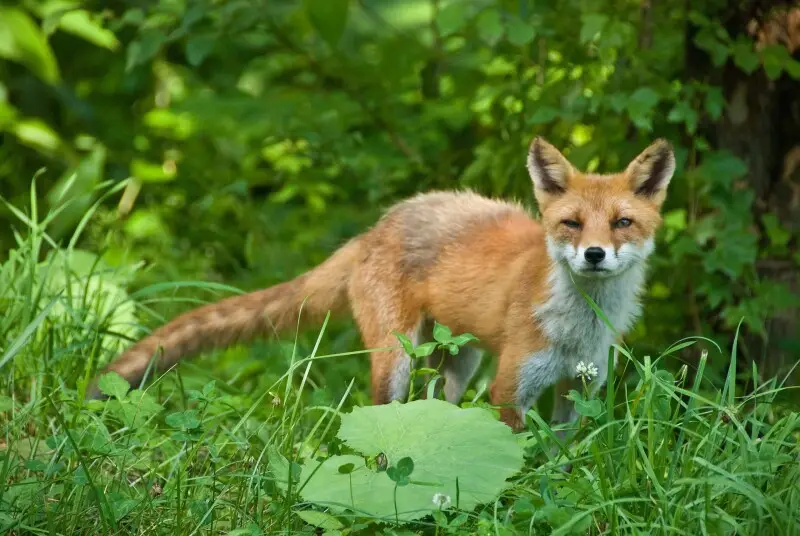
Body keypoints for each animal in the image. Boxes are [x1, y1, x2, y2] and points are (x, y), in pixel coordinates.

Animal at [88, 136, 676, 431]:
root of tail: (377, 226)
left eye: (622, 223)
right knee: (379, 413)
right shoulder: (510, 388)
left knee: (439, 403)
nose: (594, 255)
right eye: (571, 224)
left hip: (459, 360)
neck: (577, 328)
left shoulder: (581, 388)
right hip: (397, 358)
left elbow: (559, 456)